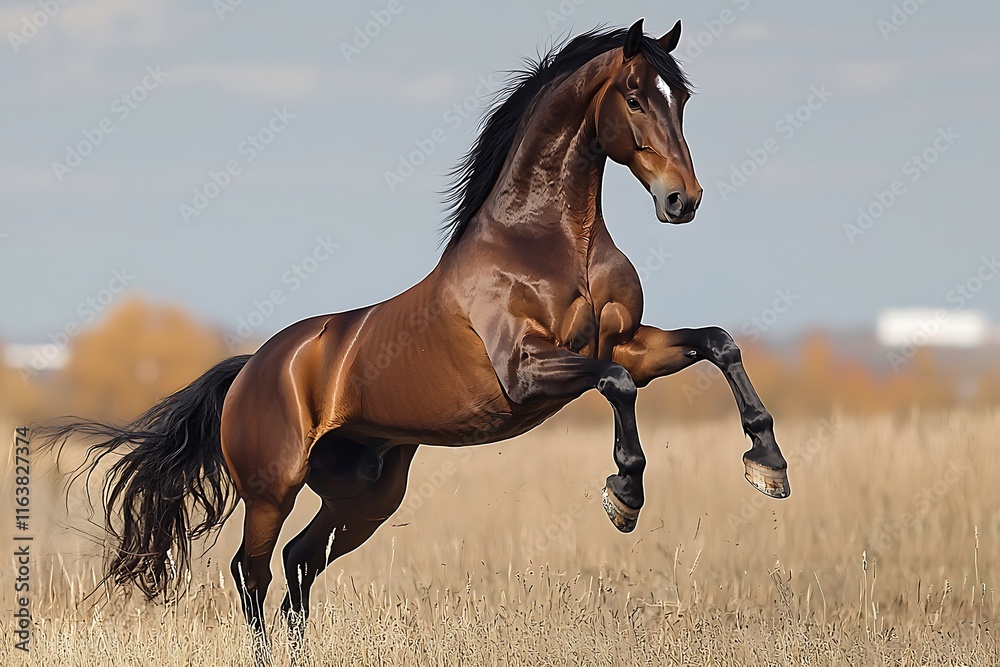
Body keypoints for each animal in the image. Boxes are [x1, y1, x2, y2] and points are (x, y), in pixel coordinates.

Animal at [45, 18, 789, 655]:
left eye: (681, 98)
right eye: (635, 98)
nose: (682, 200)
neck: (549, 244)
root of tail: (254, 366)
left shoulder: (630, 341)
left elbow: (716, 342)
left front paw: (768, 464)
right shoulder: (529, 372)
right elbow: (618, 386)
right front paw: (624, 494)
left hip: (365, 495)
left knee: (298, 564)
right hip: (271, 490)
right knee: (251, 574)